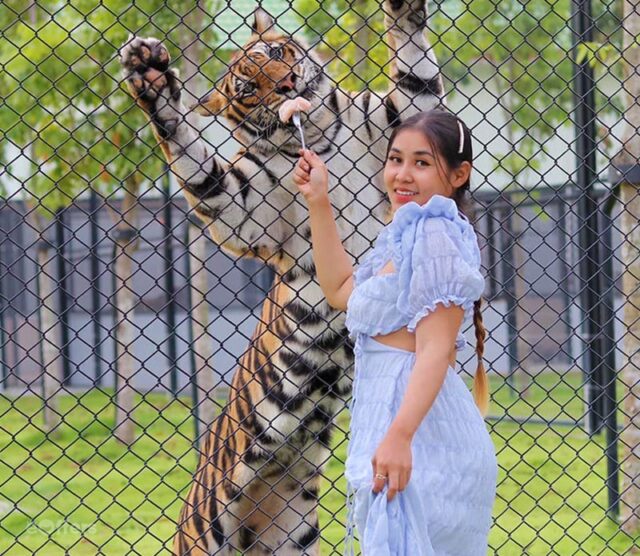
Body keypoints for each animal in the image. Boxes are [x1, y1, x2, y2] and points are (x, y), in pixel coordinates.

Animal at [119, 1, 444, 553]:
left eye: (275, 53)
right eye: (249, 88)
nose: (289, 83)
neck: (322, 137)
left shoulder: (400, 115)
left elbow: (414, 69)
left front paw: (403, 12)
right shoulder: (246, 207)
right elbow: (200, 167)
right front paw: (153, 83)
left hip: (298, 531)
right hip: (207, 530)